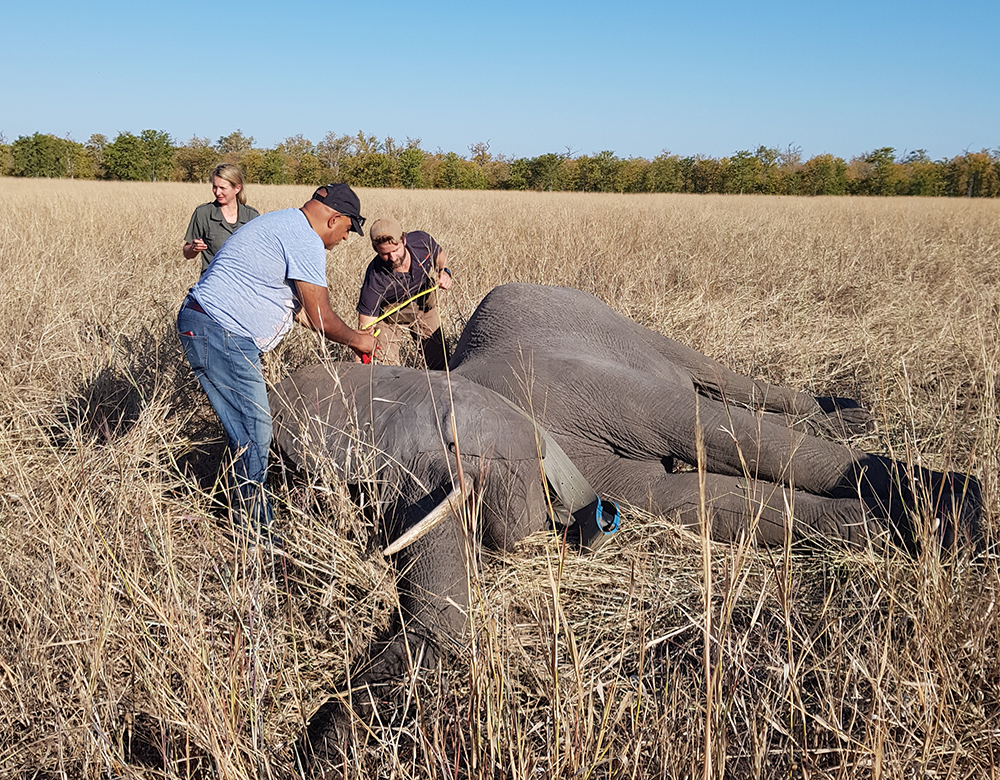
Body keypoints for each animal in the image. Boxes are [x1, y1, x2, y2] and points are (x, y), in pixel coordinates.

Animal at [269, 283, 981, 761]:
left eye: (441, 437)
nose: (320, 738)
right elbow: (706, 501)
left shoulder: (572, 385)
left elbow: (721, 435)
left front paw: (956, 510)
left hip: (608, 322)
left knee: (729, 388)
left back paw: (848, 413)